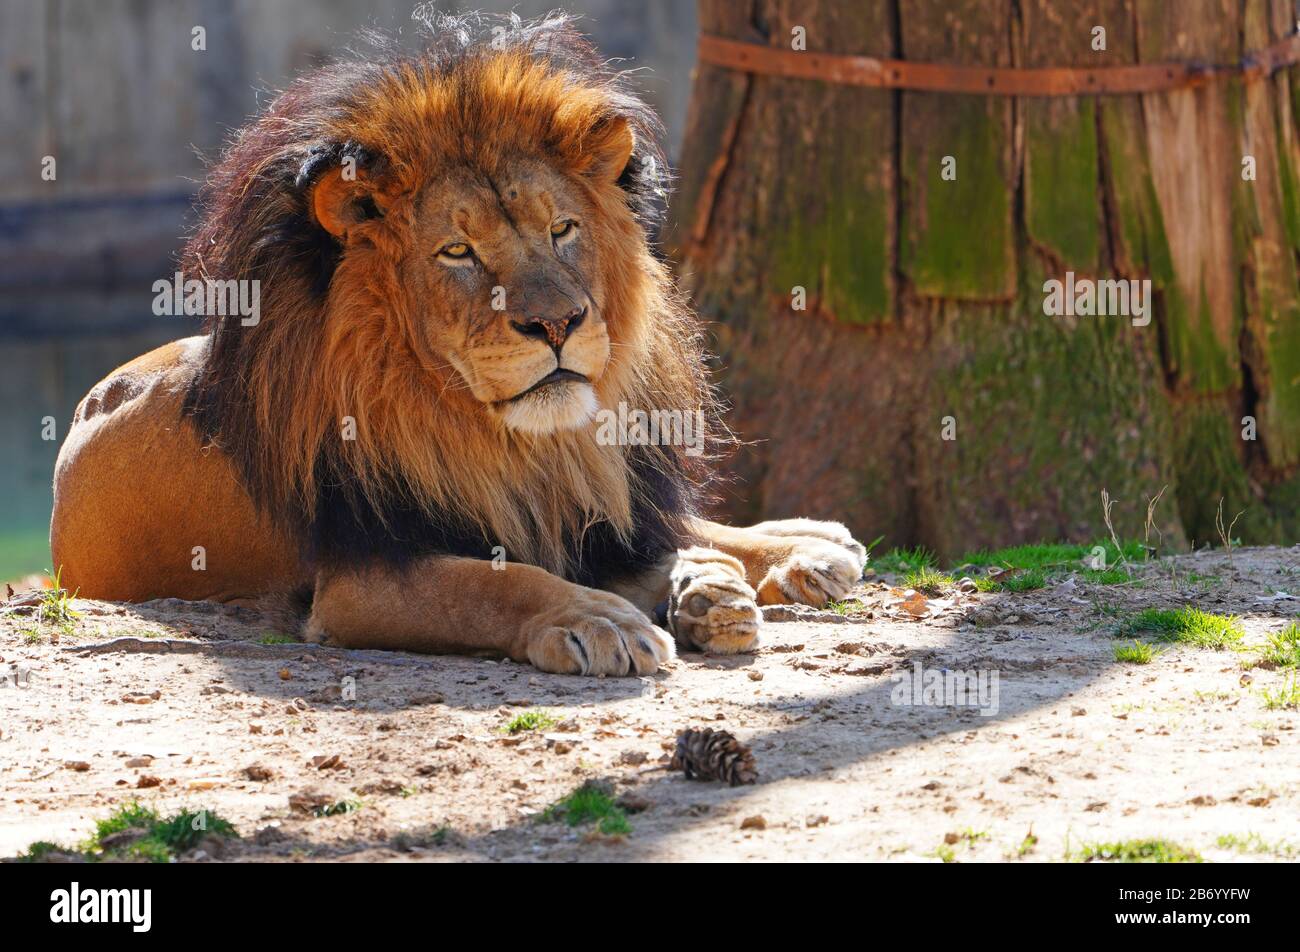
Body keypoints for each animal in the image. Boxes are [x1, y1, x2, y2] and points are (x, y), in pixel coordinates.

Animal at [50, 12, 866, 676]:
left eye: (562, 229)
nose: (558, 324)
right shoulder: (361, 575)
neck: (506, 443)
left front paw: (707, 584)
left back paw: (802, 549)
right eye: (457, 253)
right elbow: (491, 583)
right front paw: (596, 619)